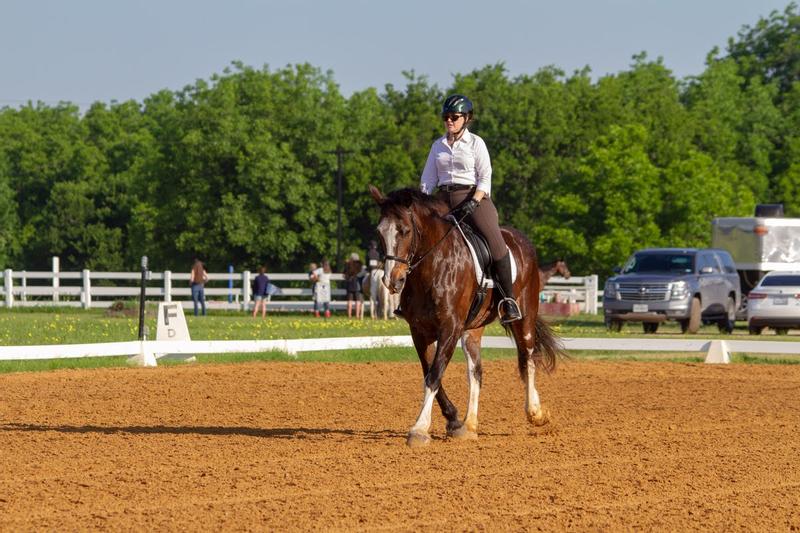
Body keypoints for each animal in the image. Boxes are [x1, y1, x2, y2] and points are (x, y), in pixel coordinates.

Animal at [370, 185, 565, 447]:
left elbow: (434, 374)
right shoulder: (419, 331)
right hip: (472, 329)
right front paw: (453, 420)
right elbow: (431, 373)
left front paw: (419, 429)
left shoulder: (450, 327)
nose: (392, 280)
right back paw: (469, 425)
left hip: (525, 317)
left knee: (528, 358)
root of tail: (521, 240)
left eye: (405, 231)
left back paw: (535, 413)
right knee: (476, 372)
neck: (433, 266)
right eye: (380, 232)